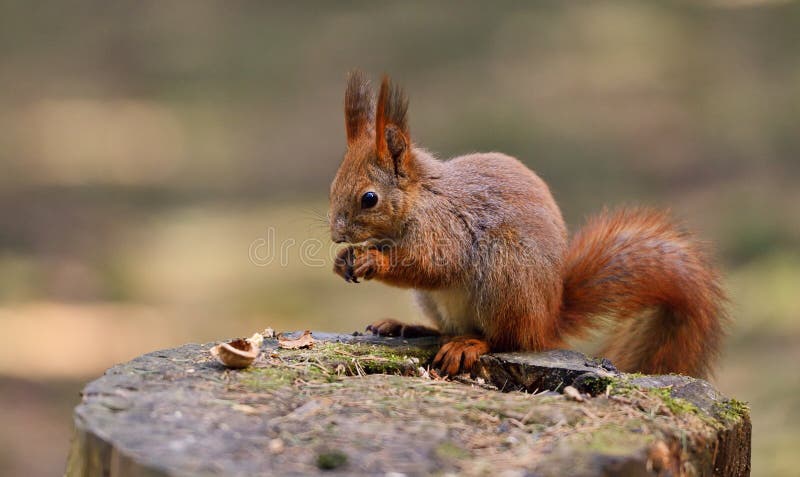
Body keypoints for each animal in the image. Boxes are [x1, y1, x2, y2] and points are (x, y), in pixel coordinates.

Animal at [329, 71, 727, 378]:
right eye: (333, 186)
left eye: (369, 198)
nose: (336, 235)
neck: (421, 198)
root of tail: (547, 321)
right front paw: (344, 260)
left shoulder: (447, 228)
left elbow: (434, 264)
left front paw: (373, 259)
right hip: (437, 299)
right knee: (446, 329)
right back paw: (407, 327)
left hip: (506, 278)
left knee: (506, 340)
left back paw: (469, 343)